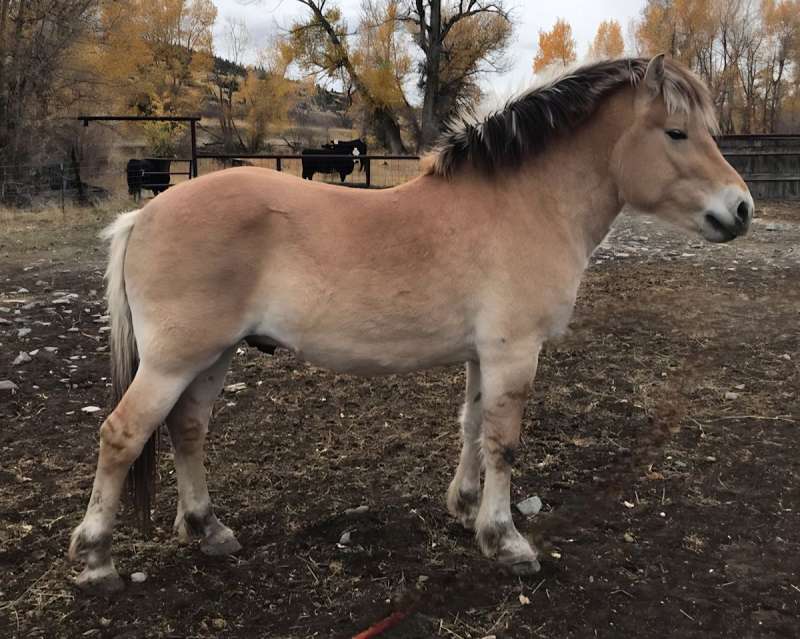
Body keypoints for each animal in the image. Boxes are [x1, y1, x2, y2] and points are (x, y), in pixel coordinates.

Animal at [69, 56, 753, 593]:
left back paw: (208, 529)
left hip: (214, 356)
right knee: (123, 434)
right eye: (677, 132)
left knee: (186, 429)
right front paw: (508, 542)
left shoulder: (484, 353)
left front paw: (467, 509)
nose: (741, 209)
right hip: (173, 360)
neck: (524, 204)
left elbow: (473, 427)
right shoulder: (514, 351)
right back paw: (97, 560)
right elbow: (504, 442)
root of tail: (144, 214)